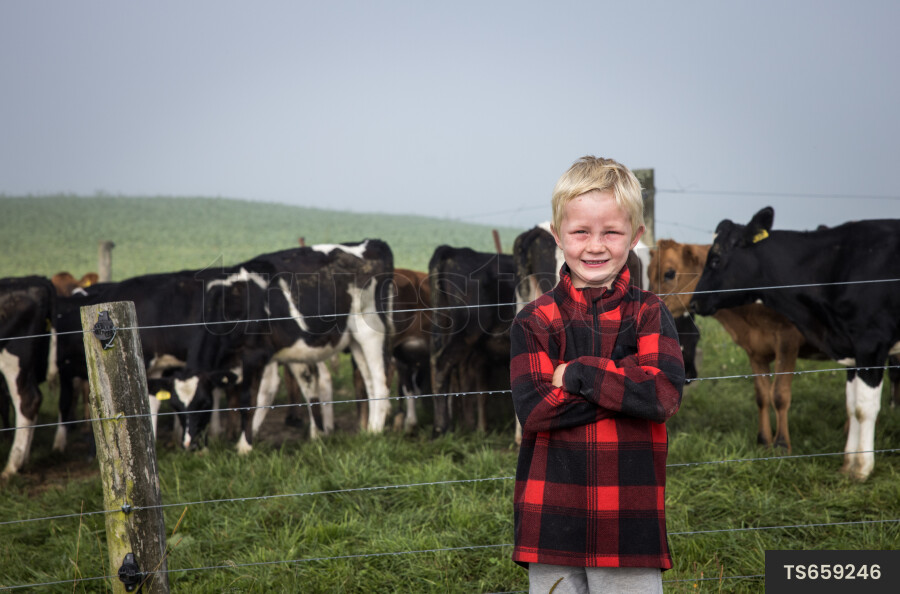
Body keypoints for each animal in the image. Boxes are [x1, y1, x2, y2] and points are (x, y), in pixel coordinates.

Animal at [182, 239, 394, 453]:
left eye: (203, 403)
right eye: (177, 407)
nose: (189, 445)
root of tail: (371, 243)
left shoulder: (254, 354)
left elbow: (249, 398)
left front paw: (244, 447)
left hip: (371, 331)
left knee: (380, 382)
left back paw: (375, 431)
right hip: (354, 341)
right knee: (369, 382)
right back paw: (367, 430)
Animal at [649, 238, 829, 451]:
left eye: (669, 273)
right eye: (648, 273)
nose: (651, 300)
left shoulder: (788, 340)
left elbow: (779, 394)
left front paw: (782, 445)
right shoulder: (755, 349)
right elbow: (762, 395)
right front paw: (763, 442)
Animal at [690, 207, 900, 480]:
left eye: (715, 258)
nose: (693, 302)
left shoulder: (871, 344)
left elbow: (864, 408)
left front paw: (862, 469)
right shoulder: (850, 348)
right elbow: (852, 405)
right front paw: (848, 465)